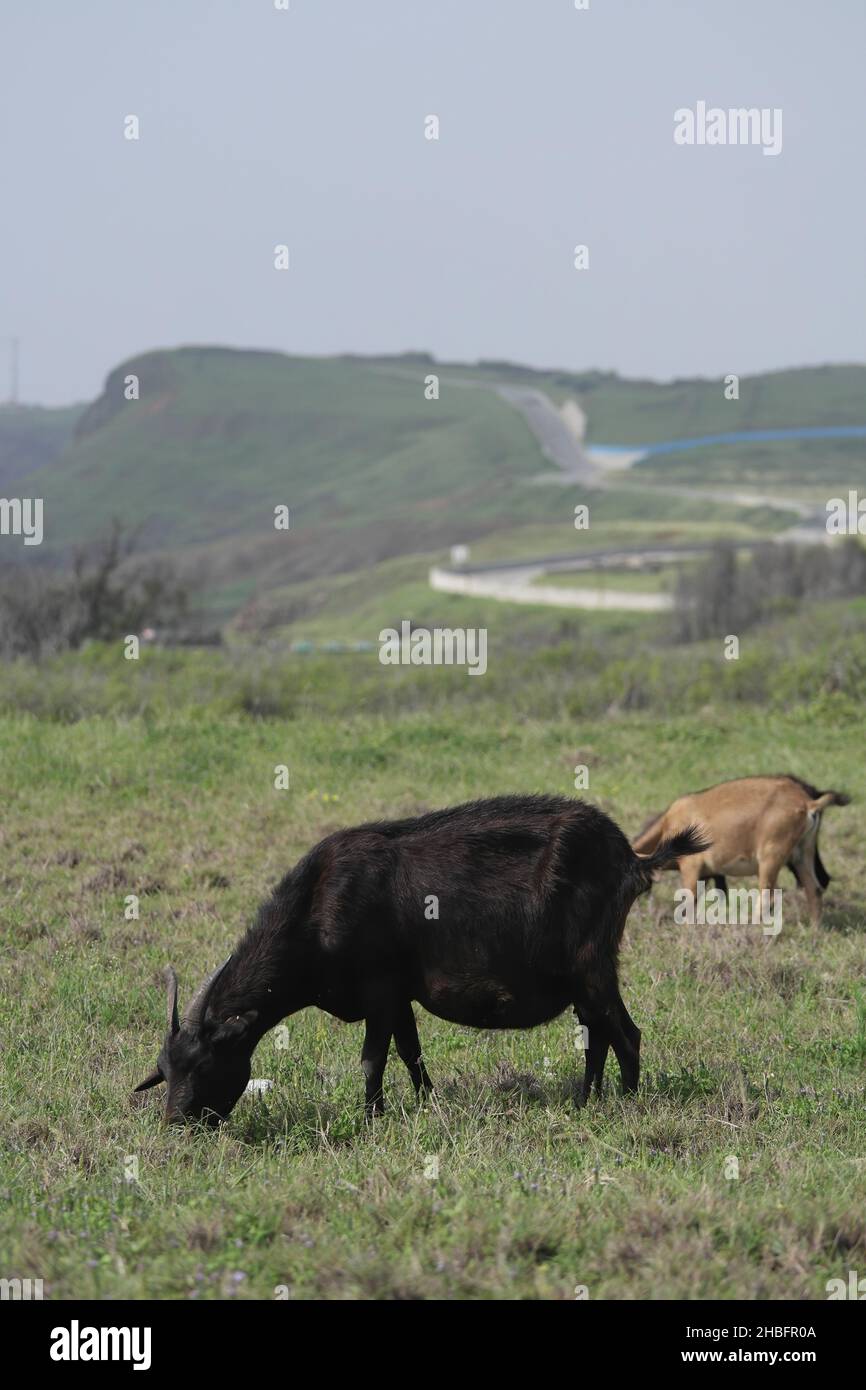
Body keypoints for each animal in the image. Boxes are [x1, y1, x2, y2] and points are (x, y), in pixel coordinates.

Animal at [133, 794, 706, 1124]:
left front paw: (371, 1119)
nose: (176, 1122)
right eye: (165, 1068)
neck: (317, 909)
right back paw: (587, 1101)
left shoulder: (380, 989)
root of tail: (631, 858)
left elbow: (372, 1058)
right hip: (582, 977)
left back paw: (624, 1106)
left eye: (206, 1062)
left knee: (624, 1032)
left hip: (593, 965)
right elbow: (411, 1052)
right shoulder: (399, 995)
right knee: (597, 1032)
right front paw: (426, 1105)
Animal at [633, 775, 849, 926]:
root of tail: (808, 803)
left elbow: (690, 900)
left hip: (771, 857)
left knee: (767, 897)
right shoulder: (708, 874)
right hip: (802, 855)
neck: (669, 823)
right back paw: (814, 930)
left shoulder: (691, 866)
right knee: (814, 889)